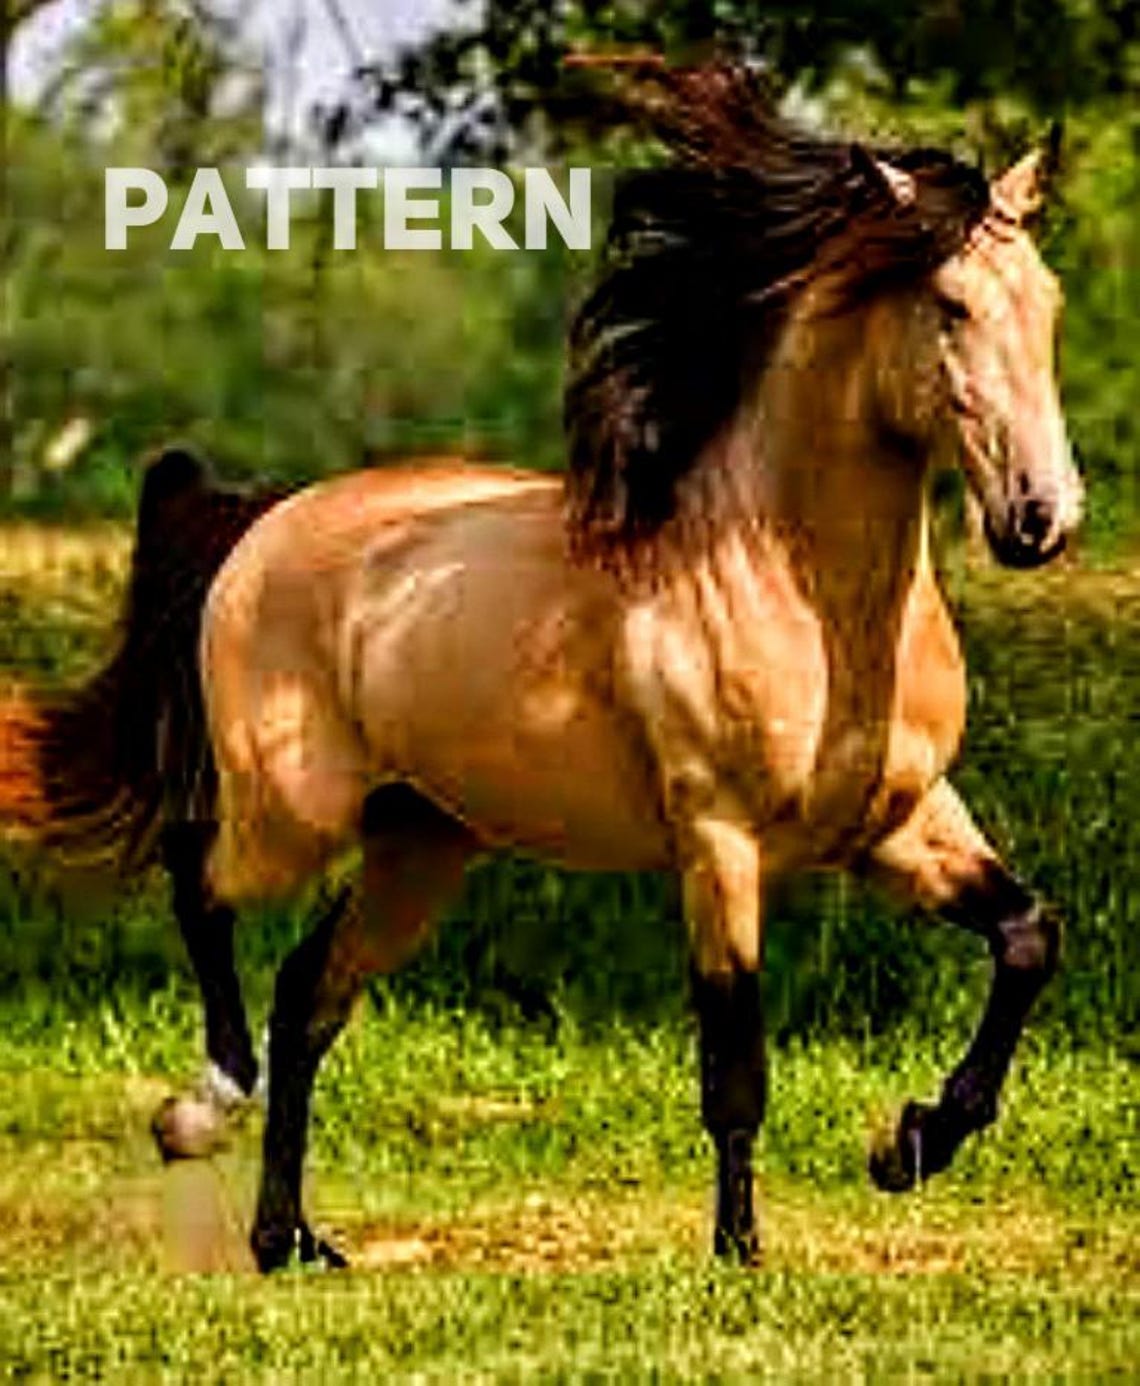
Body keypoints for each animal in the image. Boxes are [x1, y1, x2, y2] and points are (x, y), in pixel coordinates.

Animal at [3, 66, 1080, 1272]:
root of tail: (262, 524)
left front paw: (910, 1145)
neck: (809, 599)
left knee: (306, 994)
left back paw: (292, 1240)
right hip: (293, 812)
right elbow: (735, 1069)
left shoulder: (903, 824)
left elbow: (1027, 939)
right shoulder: (720, 844)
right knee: (198, 876)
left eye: (1047, 302)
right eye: (949, 306)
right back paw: (200, 1113)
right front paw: (741, 1253)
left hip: (418, 846)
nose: (1042, 519)